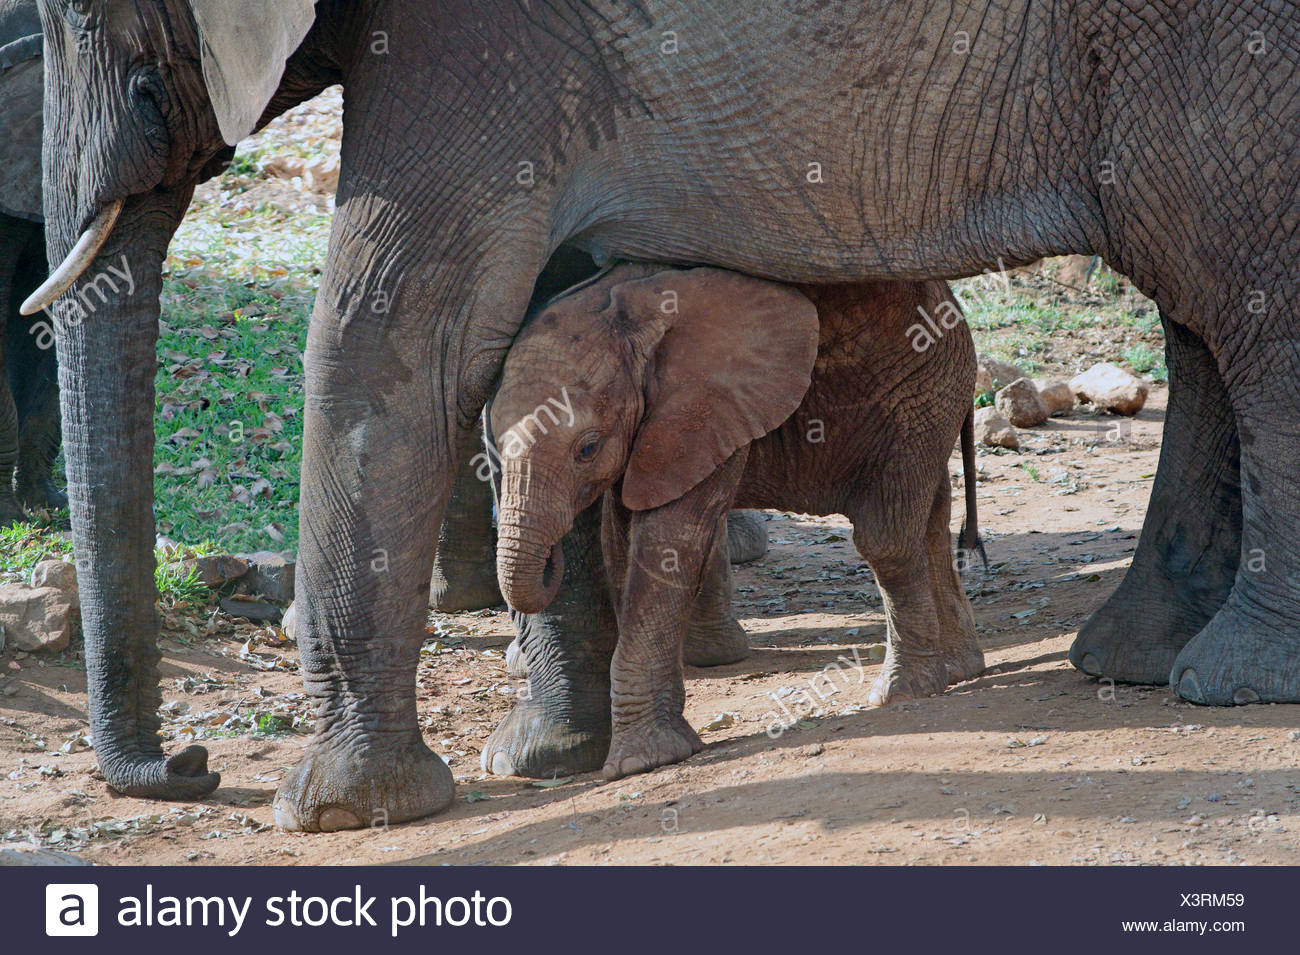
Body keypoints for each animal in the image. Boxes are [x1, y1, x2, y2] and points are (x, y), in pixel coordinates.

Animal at [485, 264, 983, 778]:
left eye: (587, 448)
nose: (554, 556)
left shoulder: (702, 414)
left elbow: (667, 544)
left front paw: (643, 761)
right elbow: (623, 546)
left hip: (921, 393)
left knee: (888, 536)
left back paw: (904, 690)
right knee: (931, 517)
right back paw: (959, 669)